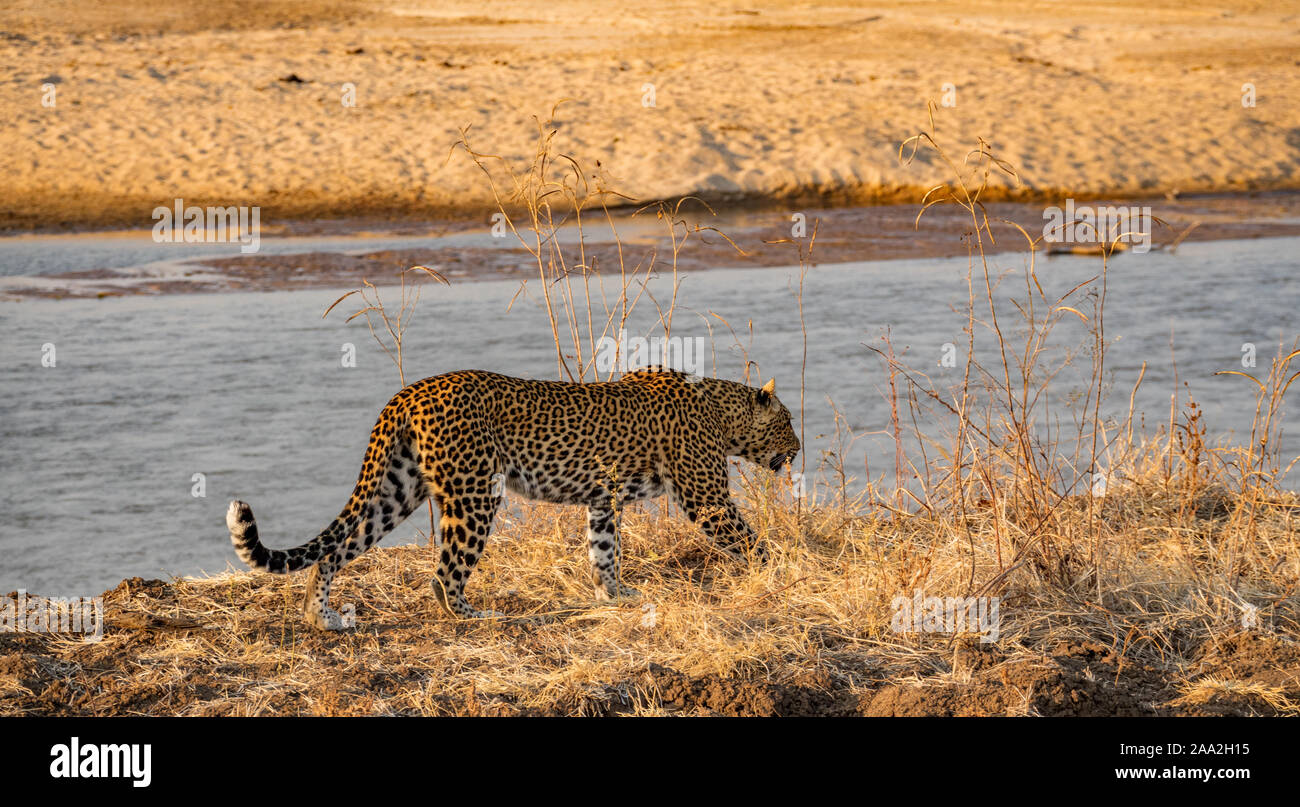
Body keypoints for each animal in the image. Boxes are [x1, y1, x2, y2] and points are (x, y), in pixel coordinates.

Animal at [226, 367, 800, 630]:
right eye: (788, 422)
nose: (798, 447)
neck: (724, 413)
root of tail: (408, 393)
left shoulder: (602, 500)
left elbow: (604, 551)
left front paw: (614, 595)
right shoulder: (707, 498)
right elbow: (751, 541)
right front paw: (786, 572)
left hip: (397, 490)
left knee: (335, 550)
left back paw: (320, 615)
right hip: (475, 492)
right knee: (444, 572)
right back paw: (473, 616)